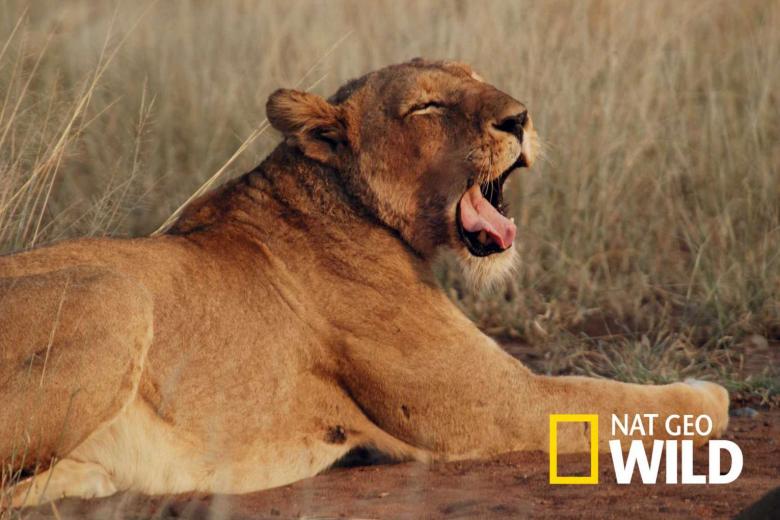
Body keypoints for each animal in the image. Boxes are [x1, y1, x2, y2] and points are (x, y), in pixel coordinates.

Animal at [0, 59, 728, 508]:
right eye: (428, 105)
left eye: (477, 77)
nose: (520, 117)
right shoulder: (494, 405)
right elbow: (610, 399)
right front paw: (707, 394)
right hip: (116, 294)